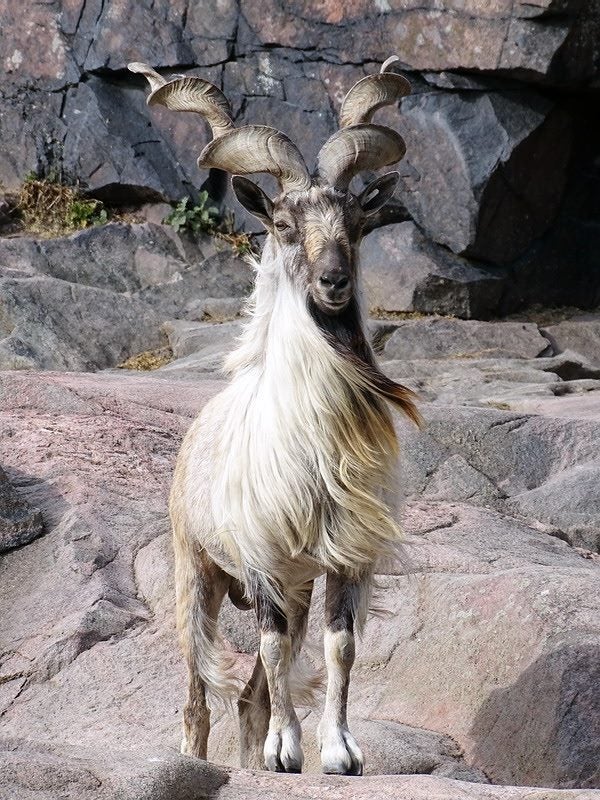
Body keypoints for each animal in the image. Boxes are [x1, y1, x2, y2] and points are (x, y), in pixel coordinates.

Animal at [129, 58, 420, 776]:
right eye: (285, 224)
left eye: (357, 221)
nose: (333, 281)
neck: (316, 437)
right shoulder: (262, 560)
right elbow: (270, 645)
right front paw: (289, 749)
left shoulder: (343, 561)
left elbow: (337, 648)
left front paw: (338, 751)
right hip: (196, 570)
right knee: (199, 694)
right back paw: (208, 754)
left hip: (293, 585)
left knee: (253, 693)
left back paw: (256, 750)